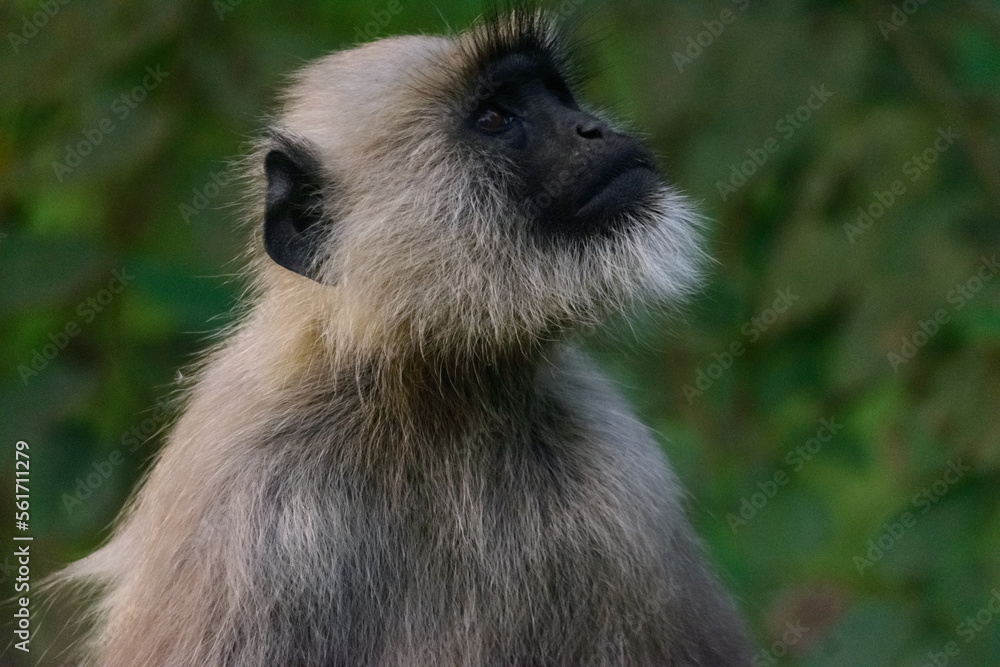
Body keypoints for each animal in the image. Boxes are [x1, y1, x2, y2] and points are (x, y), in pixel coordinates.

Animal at [55, 7, 751, 666]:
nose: (593, 129)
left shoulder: (622, 476)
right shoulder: (241, 509)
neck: (435, 400)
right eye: (495, 117)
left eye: (559, 98)